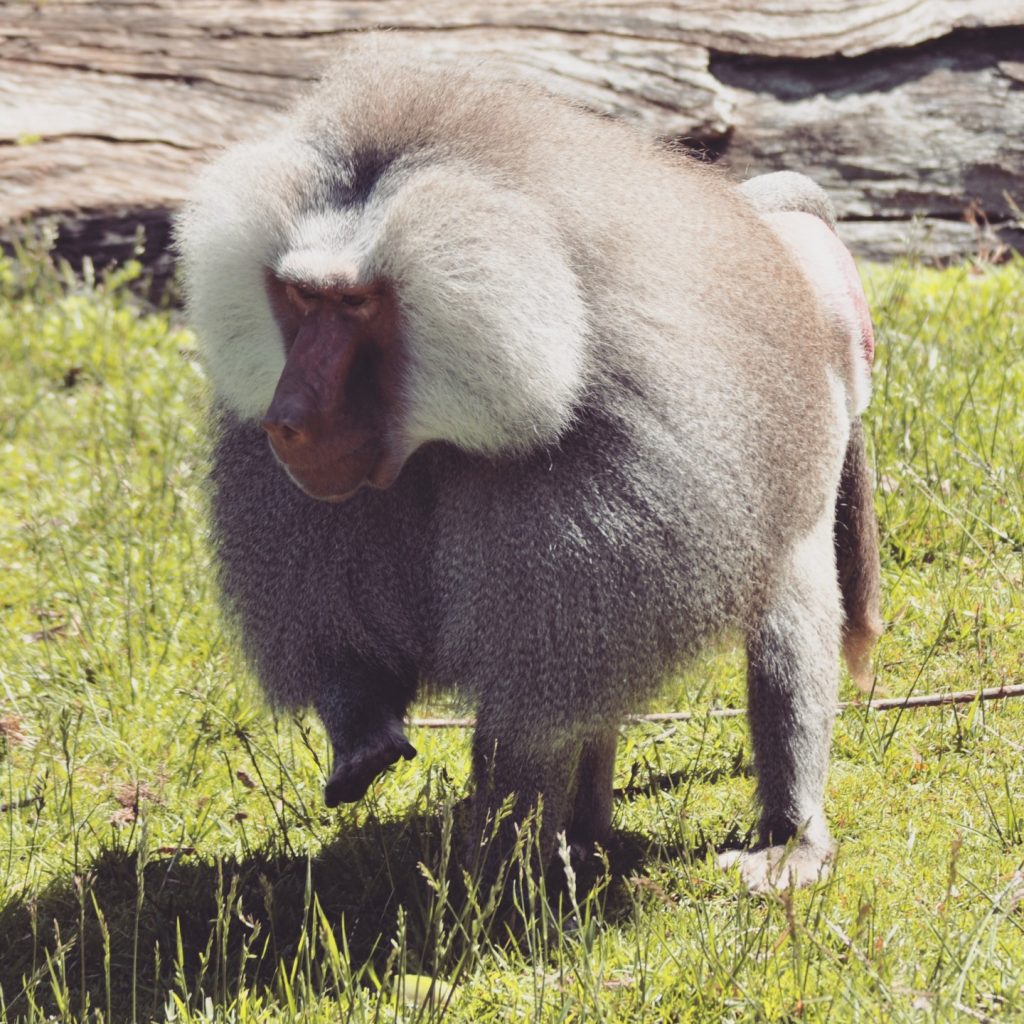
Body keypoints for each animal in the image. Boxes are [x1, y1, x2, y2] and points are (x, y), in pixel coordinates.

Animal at [175, 37, 882, 894]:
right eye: (300, 298)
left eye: (356, 305)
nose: (288, 421)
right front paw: (364, 735)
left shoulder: (596, 476)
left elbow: (530, 713)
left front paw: (491, 880)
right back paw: (587, 836)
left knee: (789, 611)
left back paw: (788, 841)